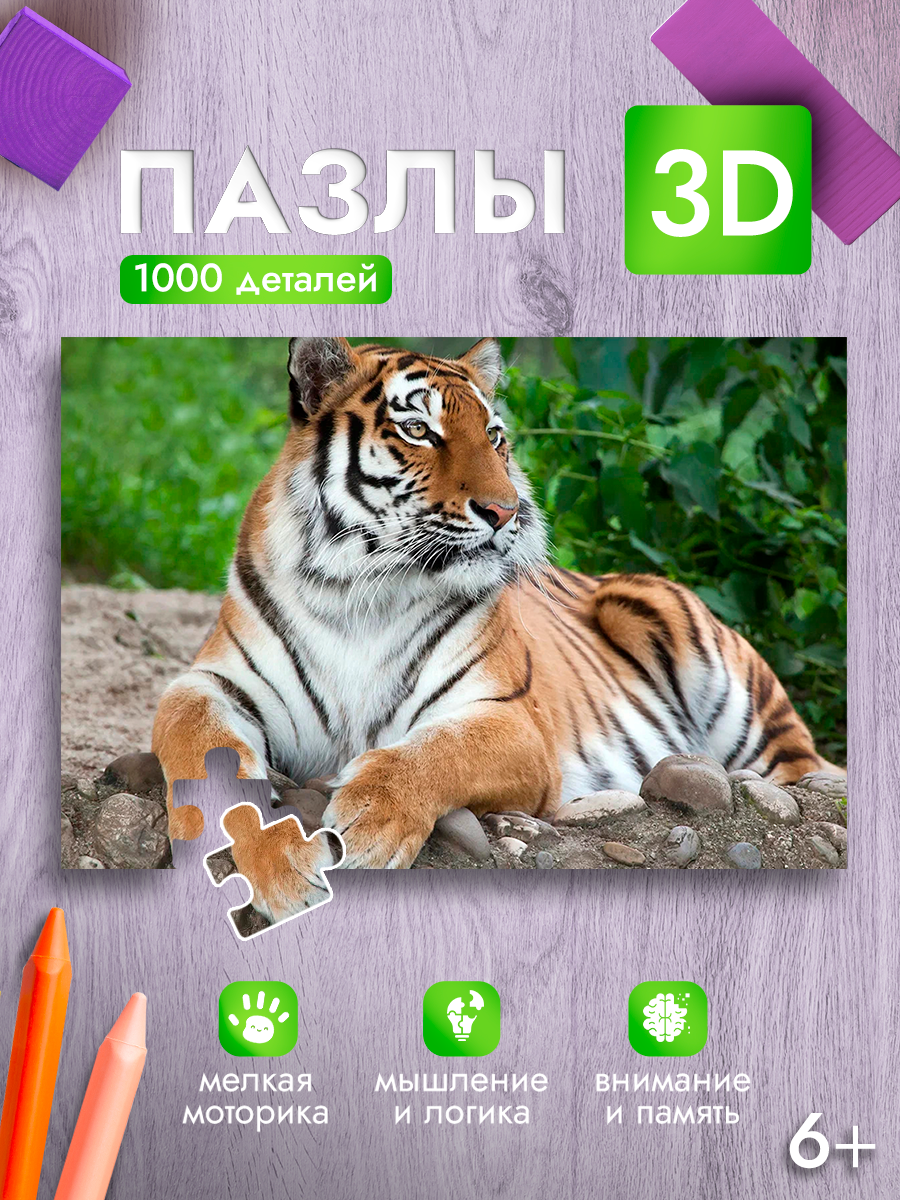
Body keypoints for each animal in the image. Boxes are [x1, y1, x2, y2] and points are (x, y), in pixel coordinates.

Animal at [152, 337, 835, 916]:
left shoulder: (511, 720)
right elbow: (197, 747)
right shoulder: (211, 682)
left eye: (494, 435)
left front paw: (369, 823)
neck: (361, 589)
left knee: (804, 770)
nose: (506, 511)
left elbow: (433, 752)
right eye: (418, 430)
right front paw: (277, 868)